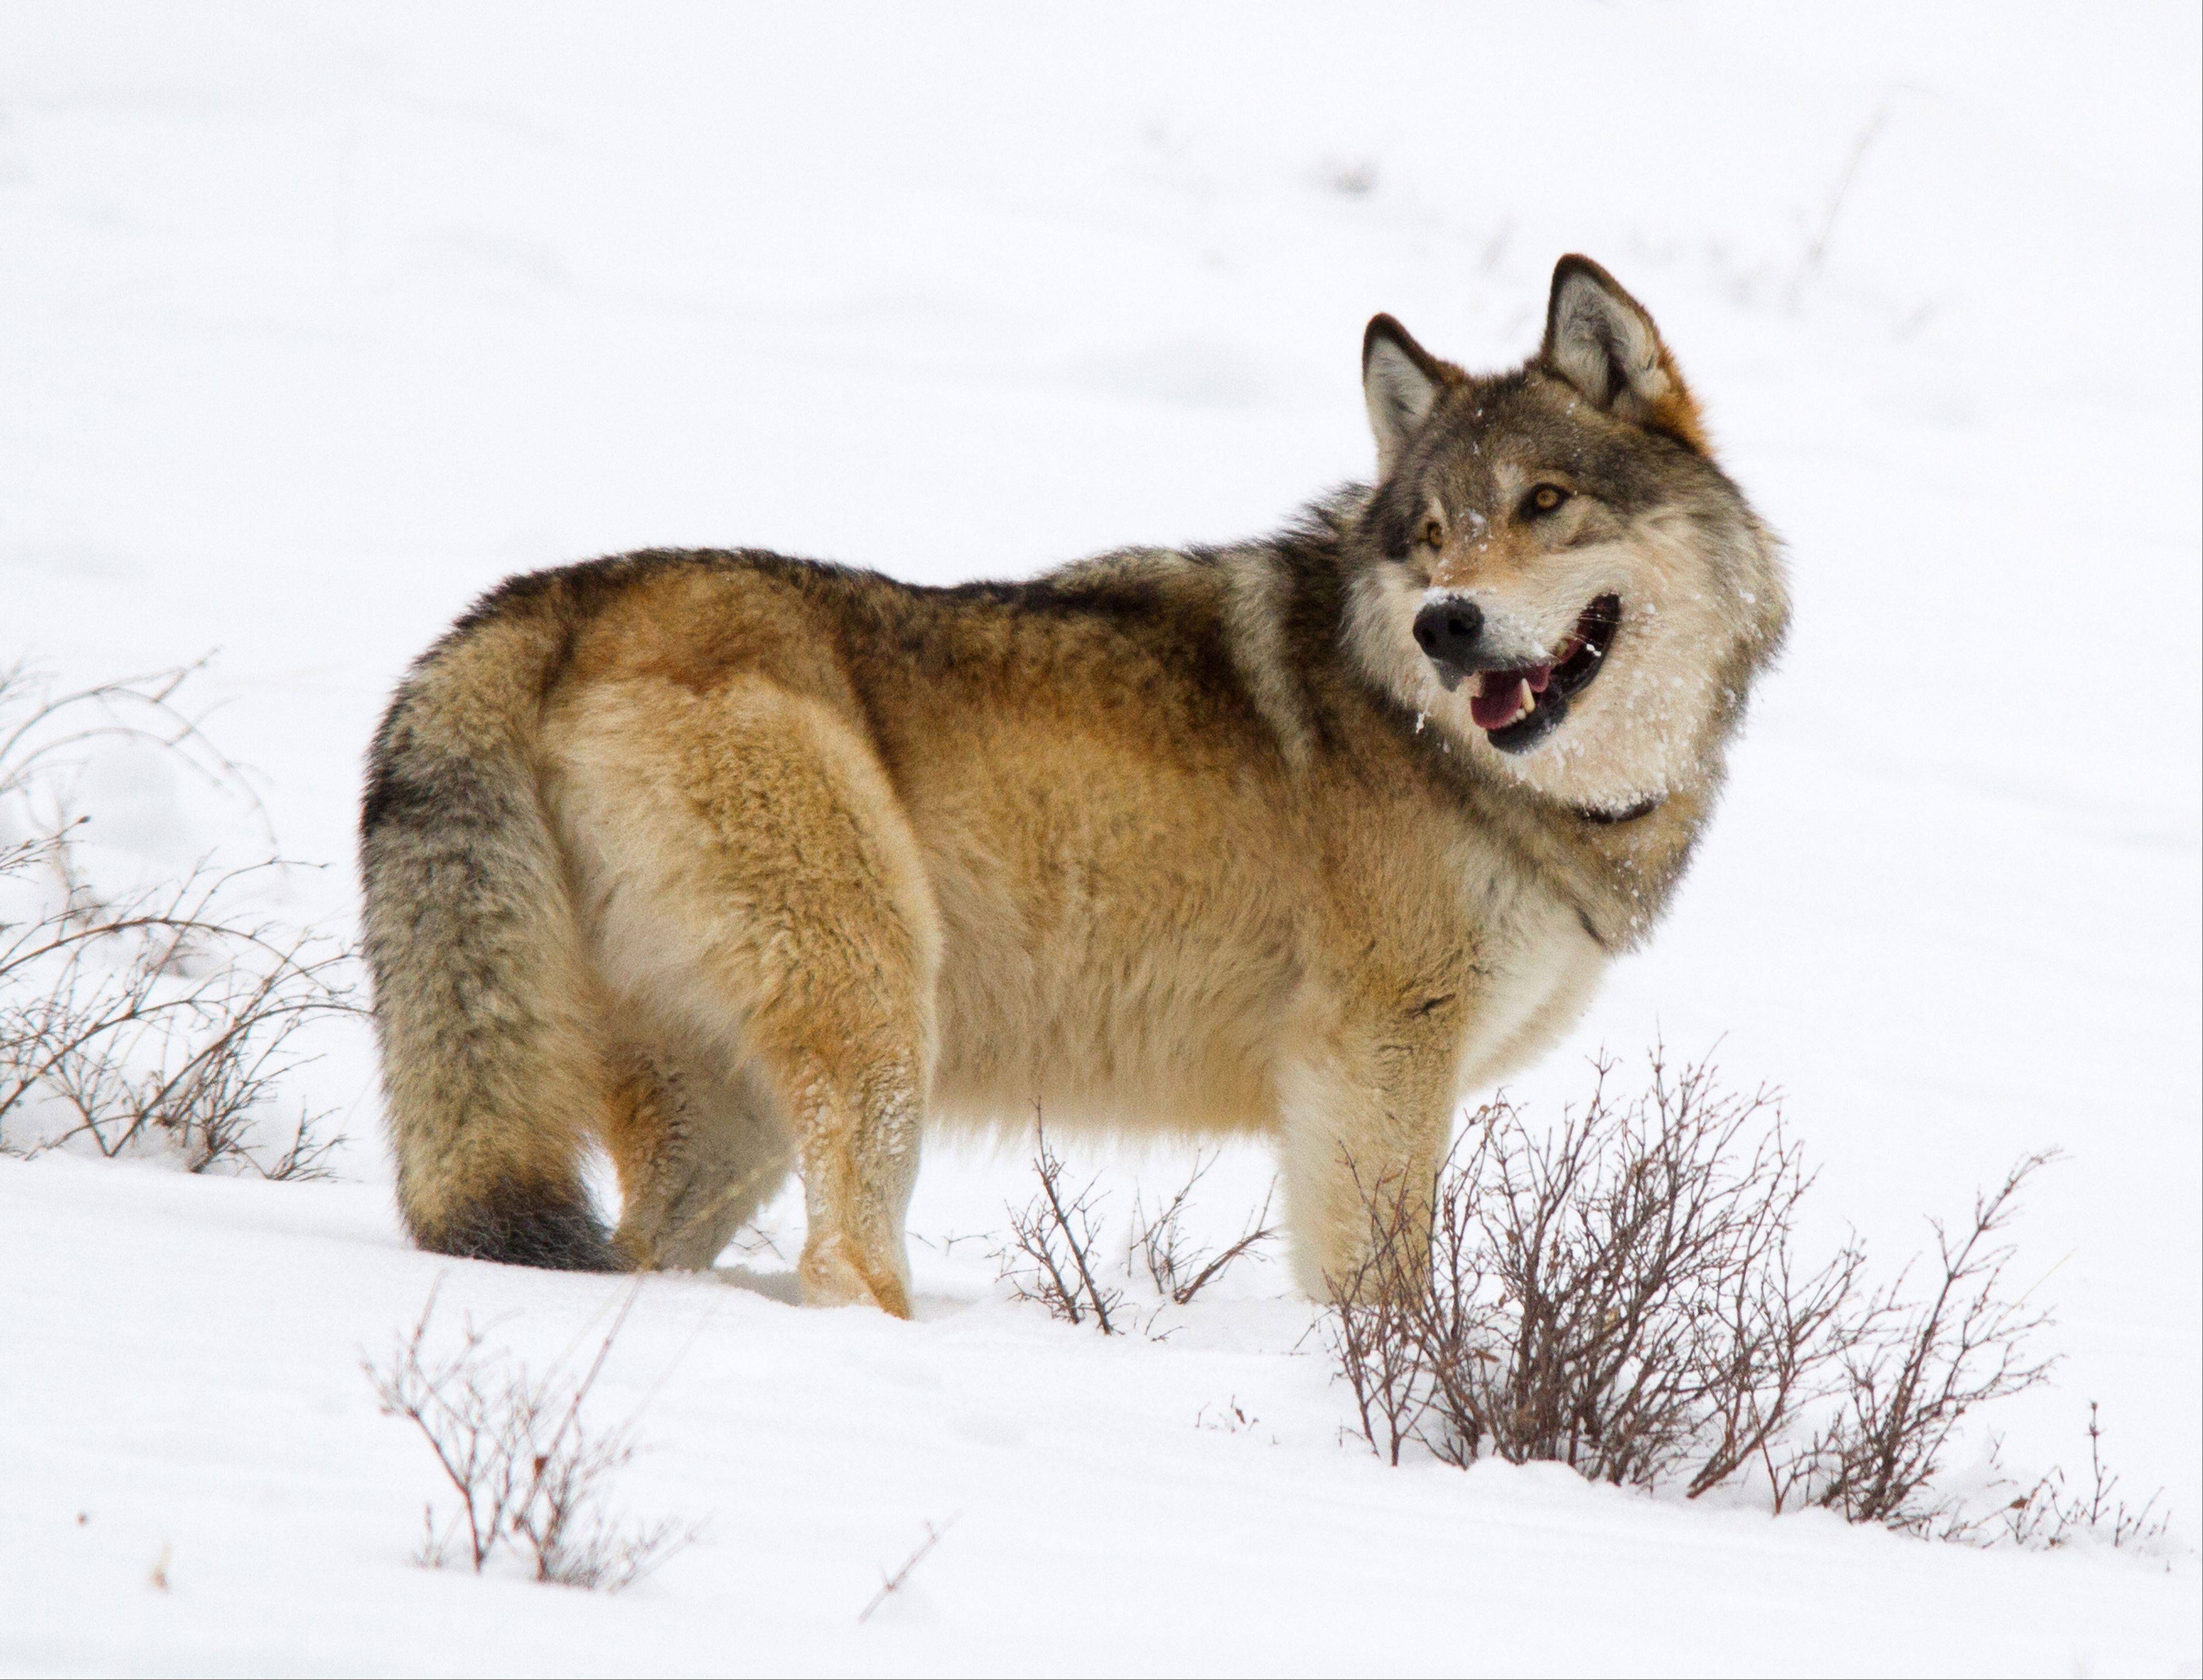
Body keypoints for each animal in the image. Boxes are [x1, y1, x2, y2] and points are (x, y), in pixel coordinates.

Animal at [360, 255, 1788, 1314]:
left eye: (1543, 501)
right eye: (1432, 534)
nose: (1446, 621)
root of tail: (552, 599)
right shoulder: (1374, 1061)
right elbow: (1379, 1297)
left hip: (728, 1123)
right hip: (880, 1014)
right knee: (842, 1263)